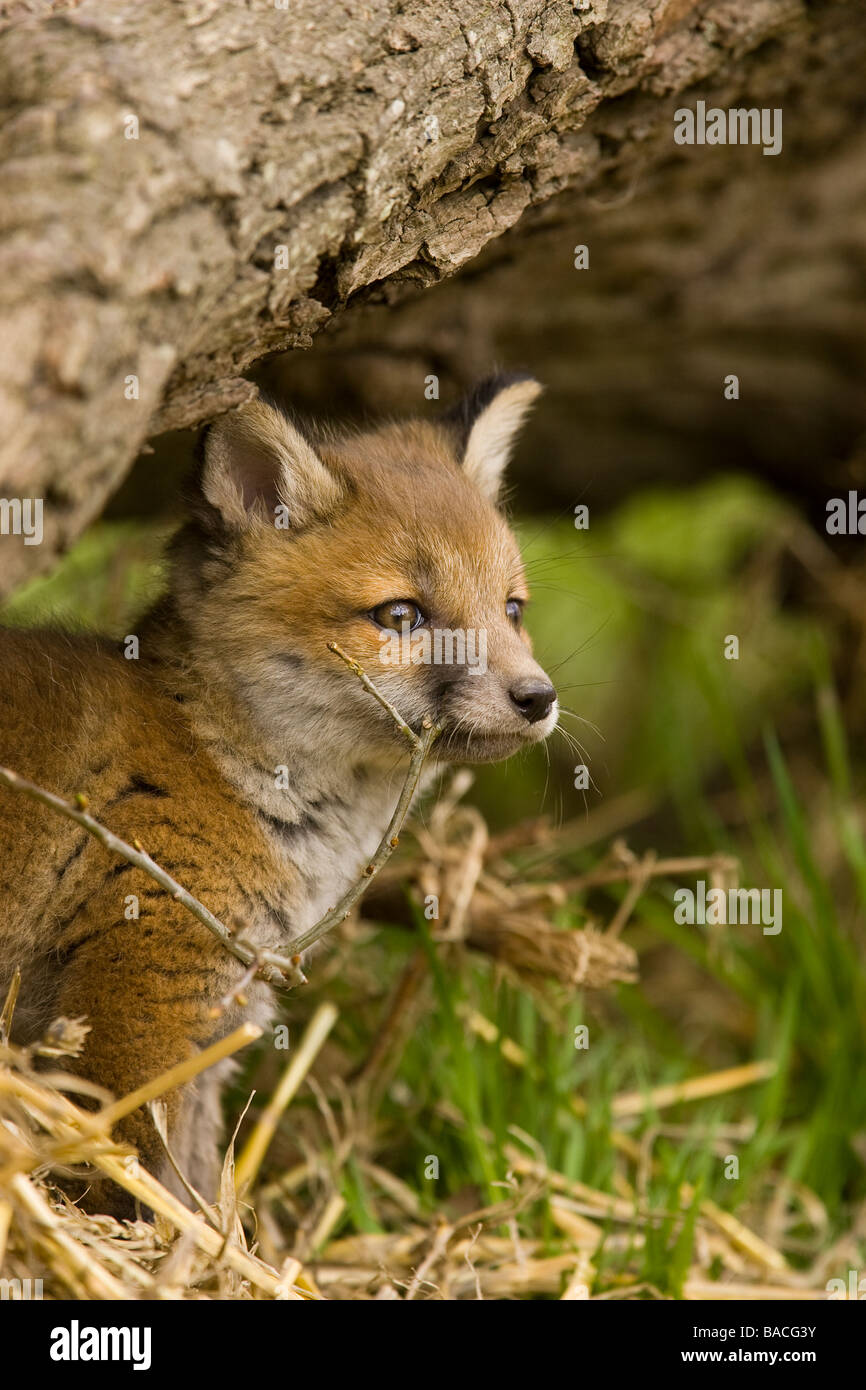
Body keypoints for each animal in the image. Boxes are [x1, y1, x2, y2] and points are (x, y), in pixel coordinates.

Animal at [0, 373, 558, 1215]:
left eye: (513, 609)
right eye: (401, 615)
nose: (539, 698)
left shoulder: (226, 1007)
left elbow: (202, 1175)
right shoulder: (138, 997)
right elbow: (143, 1175)